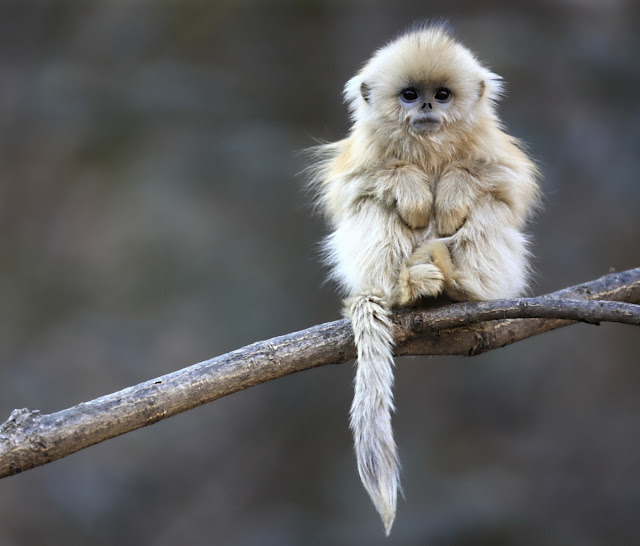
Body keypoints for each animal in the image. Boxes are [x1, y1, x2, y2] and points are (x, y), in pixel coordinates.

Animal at [307, 21, 540, 534]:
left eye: (443, 95)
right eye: (410, 95)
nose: (428, 108)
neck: (429, 148)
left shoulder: (493, 150)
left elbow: (504, 185)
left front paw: (451, 193)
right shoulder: (362, 156)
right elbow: (357, 188)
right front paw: (413, 190)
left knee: (488, 208)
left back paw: (459, 285)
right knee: (373, 207)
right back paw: (407, 288)